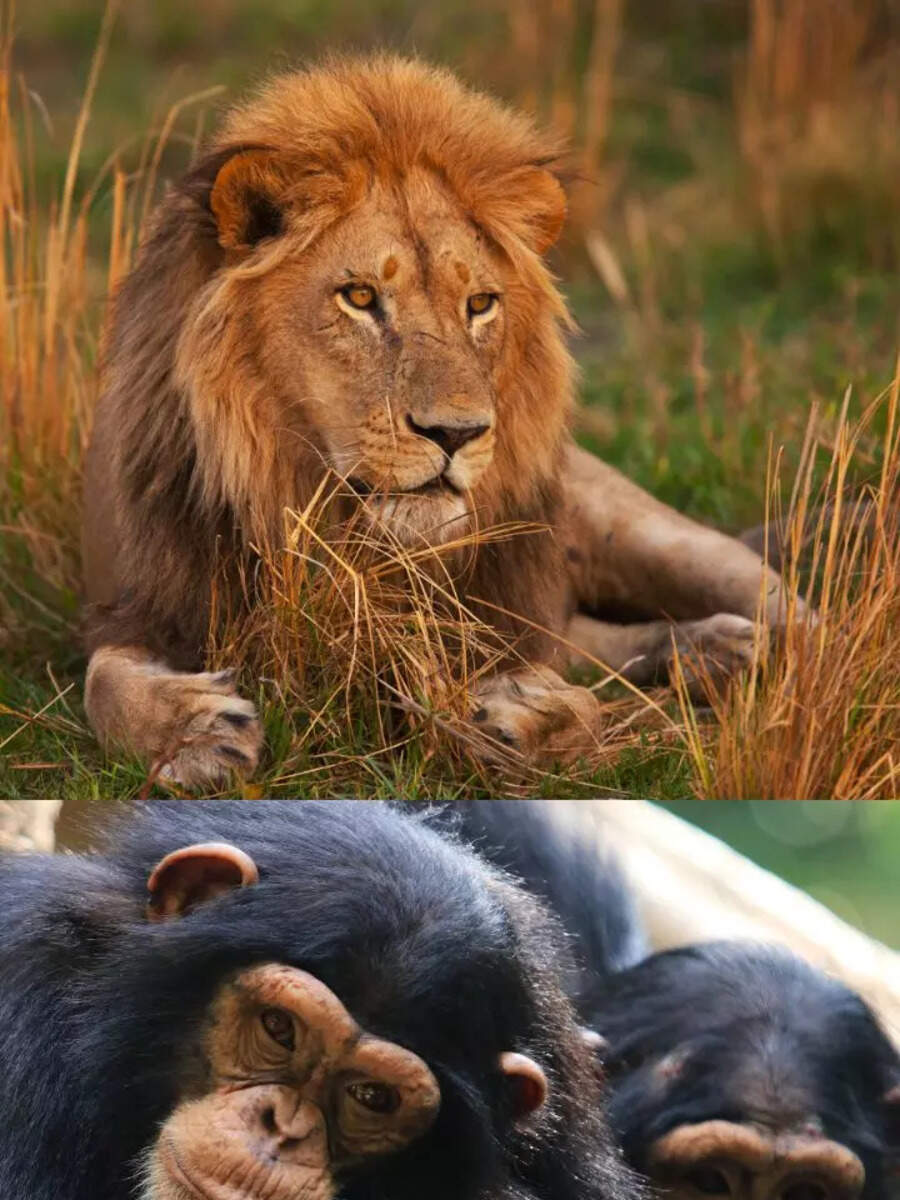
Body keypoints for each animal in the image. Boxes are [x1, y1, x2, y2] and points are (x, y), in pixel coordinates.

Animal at [82, 55, 800, 787]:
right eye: (360, 296)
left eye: (479, 304)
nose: (457, 433)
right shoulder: (149, 606)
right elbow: (102, 681)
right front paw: (197, 733)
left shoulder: (508, 618)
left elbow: (577, 705)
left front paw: (522, 717)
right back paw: (712, 652)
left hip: (651, 535)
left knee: (792, 611)